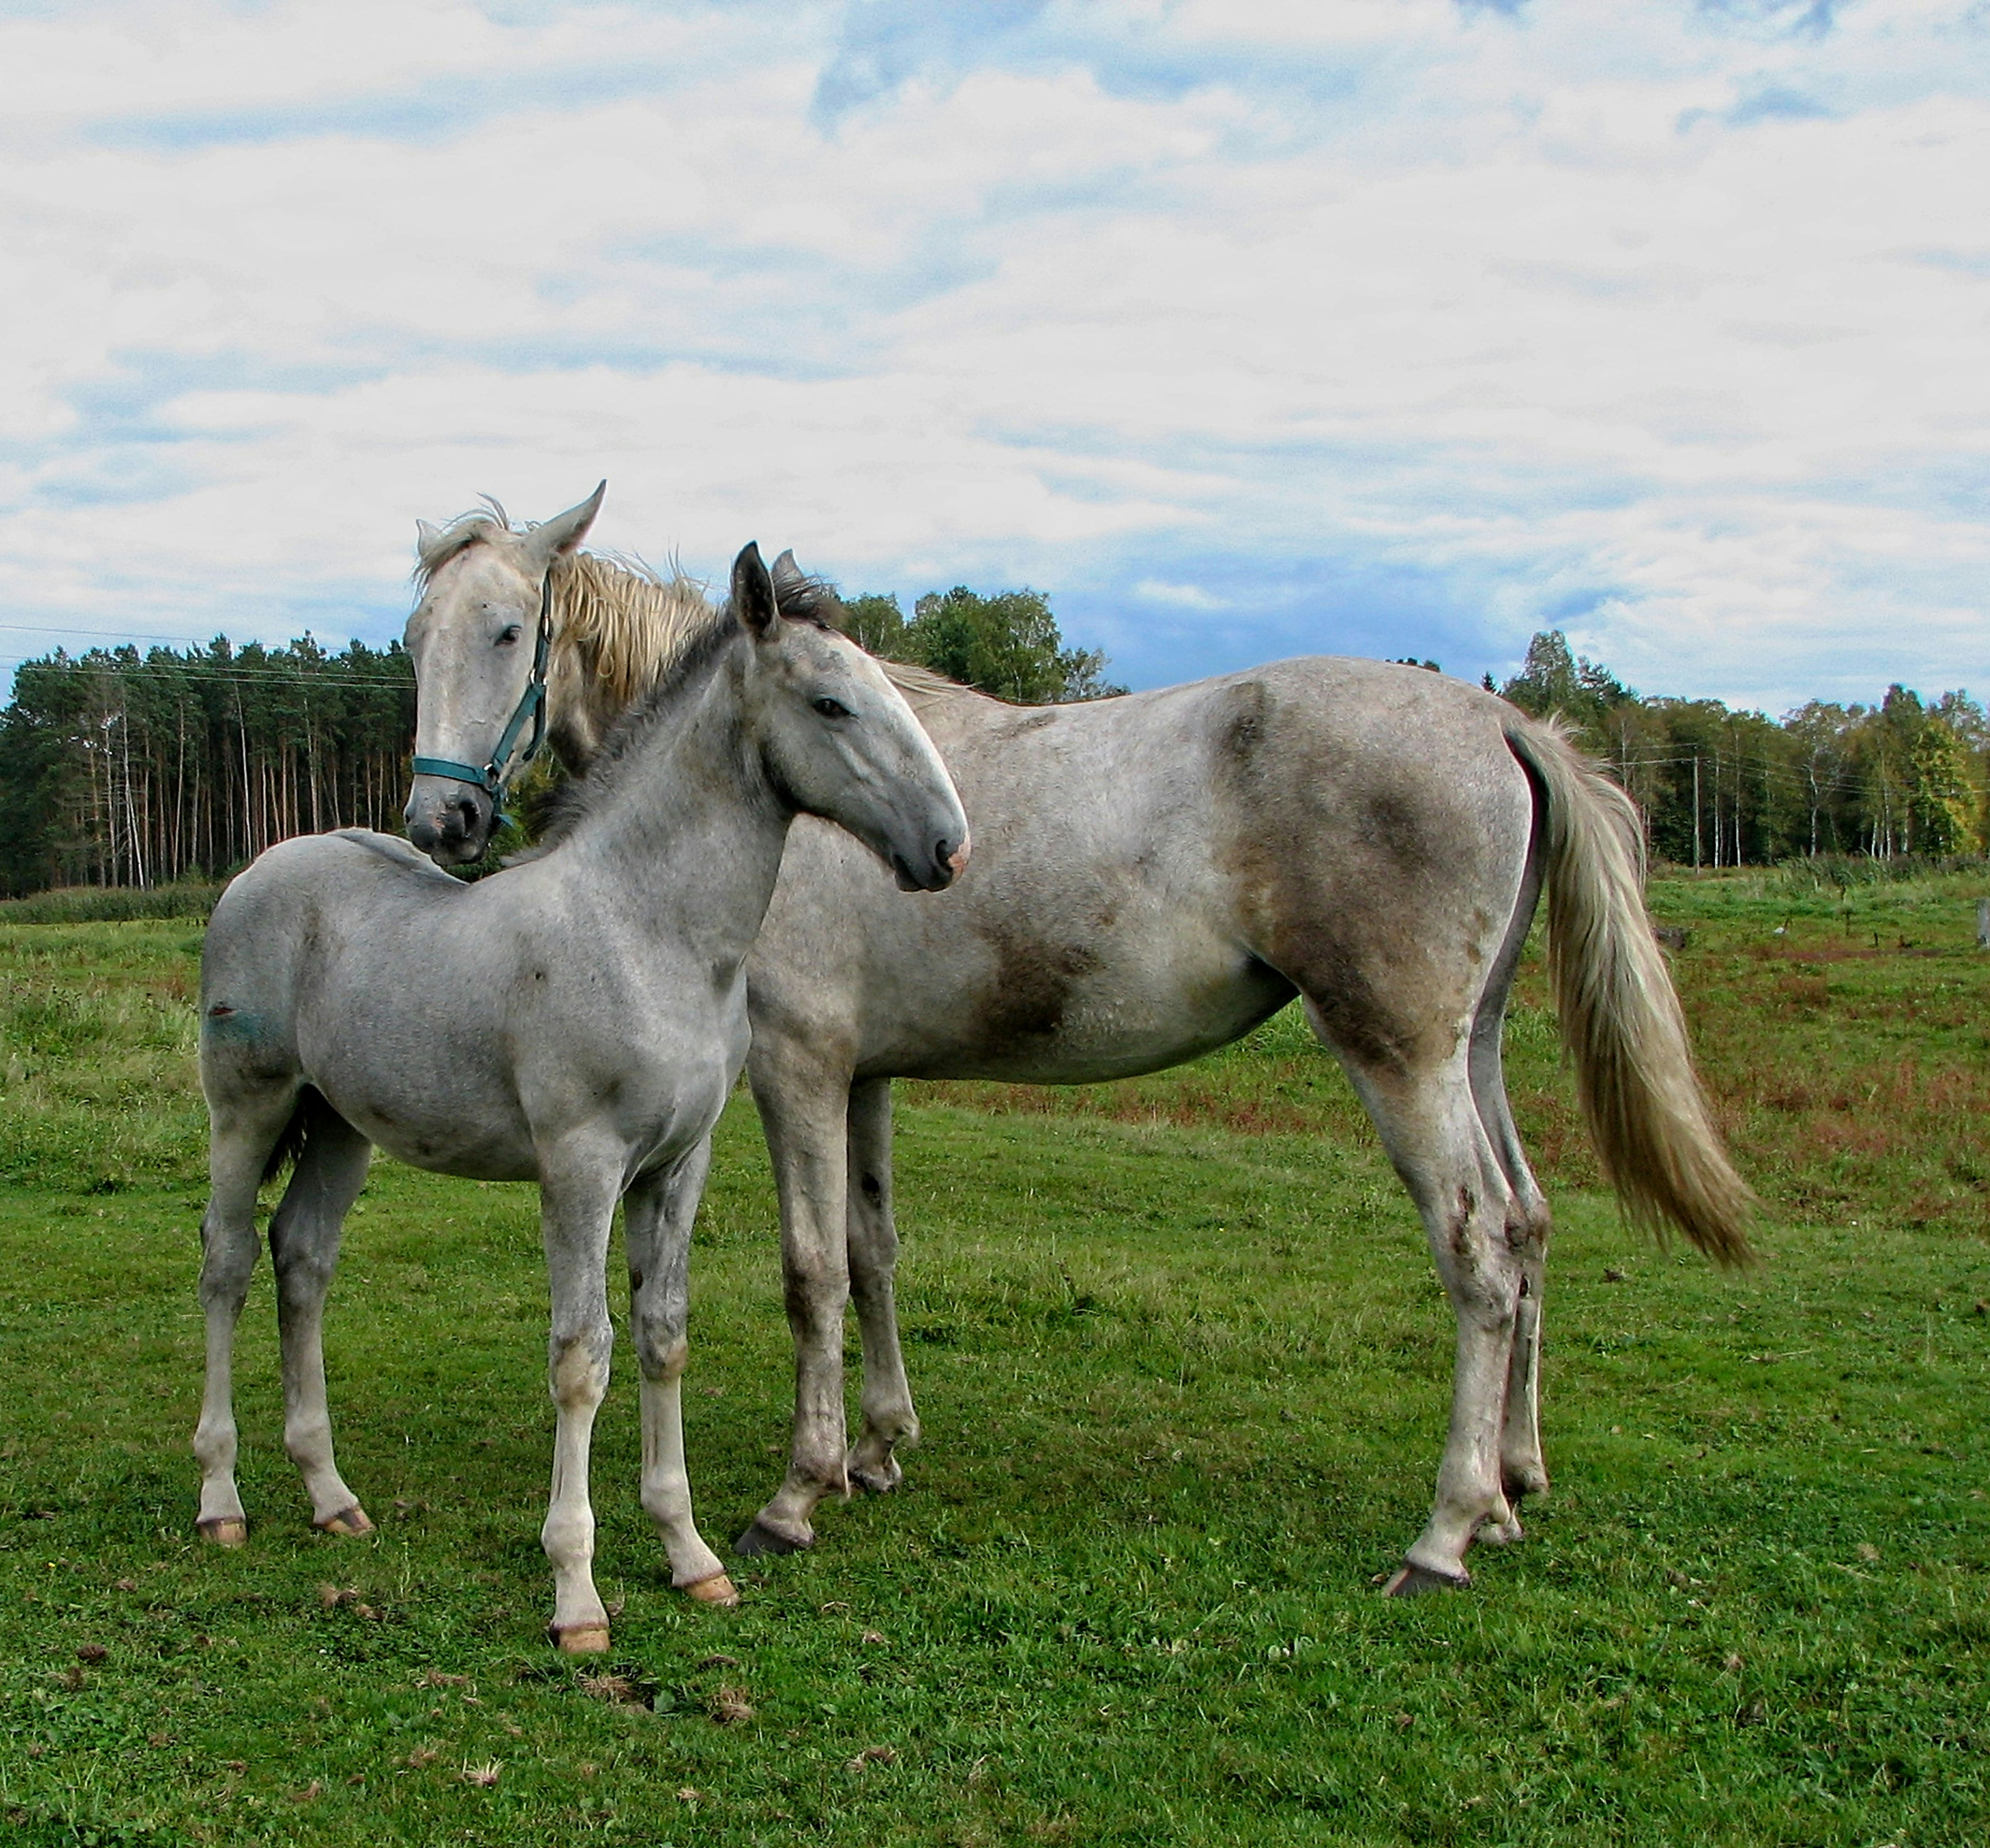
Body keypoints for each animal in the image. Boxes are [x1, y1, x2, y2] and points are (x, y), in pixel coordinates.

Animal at [193, 540, 970, 1653]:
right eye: (832, 704)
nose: (947, 847)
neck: (645, 929)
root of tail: (263, 868)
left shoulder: (676, 1166)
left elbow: (663, 1336)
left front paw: (691, 1555)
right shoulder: (581, 1165)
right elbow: (581, 1355)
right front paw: (577, 1595)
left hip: (340, 1126)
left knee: (301, 1260)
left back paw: (332, 1496)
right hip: (246, 1104)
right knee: (226, 1263)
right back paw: (222, 1499)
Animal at [405, 488, 1752, 1598]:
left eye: (509, 633)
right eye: (414, 636)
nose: (442, 820)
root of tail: (1501, 722)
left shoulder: (800, 1069)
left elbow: (811, 1272)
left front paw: (797, 1493)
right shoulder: (868, 1078)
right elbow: (874, 1252)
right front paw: (879, 1447)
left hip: (1403, 1058)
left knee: (1476, 1251)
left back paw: (1445, 1529)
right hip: (1474, 1046)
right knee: (1527, 1225)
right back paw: (1512, 1484)